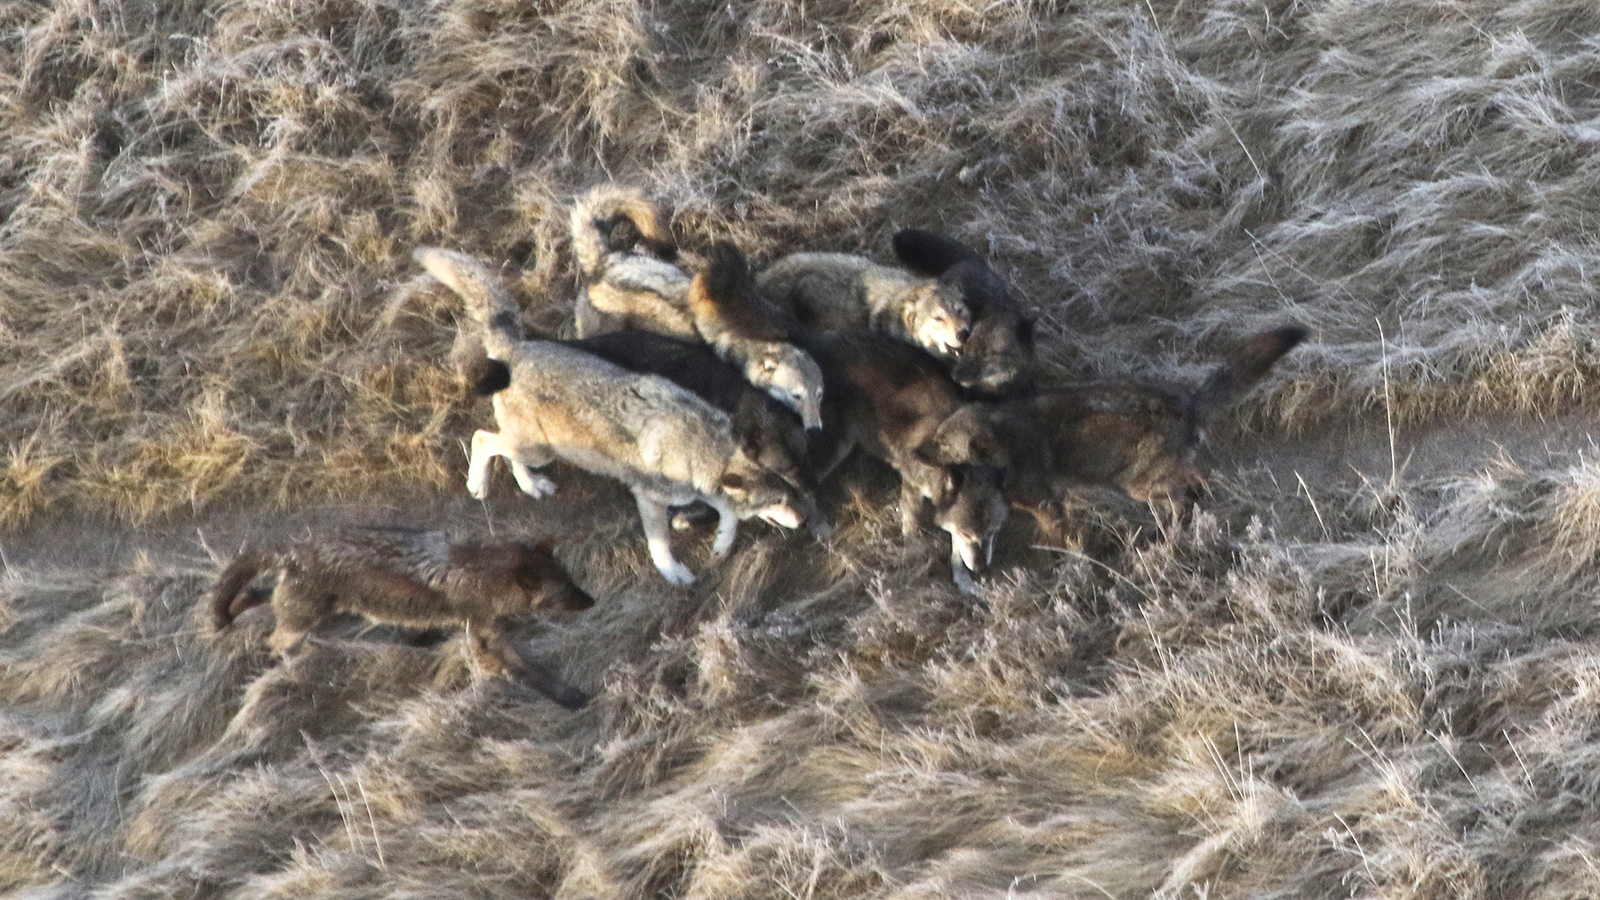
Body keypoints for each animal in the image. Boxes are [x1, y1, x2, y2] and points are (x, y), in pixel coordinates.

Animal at [210, 527, 594, 709]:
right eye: (565, 592)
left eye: (573, 581)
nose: (592, 601)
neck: (481, 573)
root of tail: (294, 550)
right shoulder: (484, 641)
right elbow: (530, 672)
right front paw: (571, 698)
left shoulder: (484, 633)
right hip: (301, 622)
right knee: (273, 640)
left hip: (312, 610)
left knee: (254, 597)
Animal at [415, 246, 806, 587]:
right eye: (779, 501)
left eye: (788, 495)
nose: (803, 520)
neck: (703, 448)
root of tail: (517, 348)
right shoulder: (650, 498)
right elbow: (661, 545)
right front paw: (674, 574)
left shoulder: (695, 488)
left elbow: (728, 512)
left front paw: (723, 541)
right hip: (540, 450)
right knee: (483, 439)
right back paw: (479, 483)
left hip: (535, 447)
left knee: (507, 453)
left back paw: (532, 486)